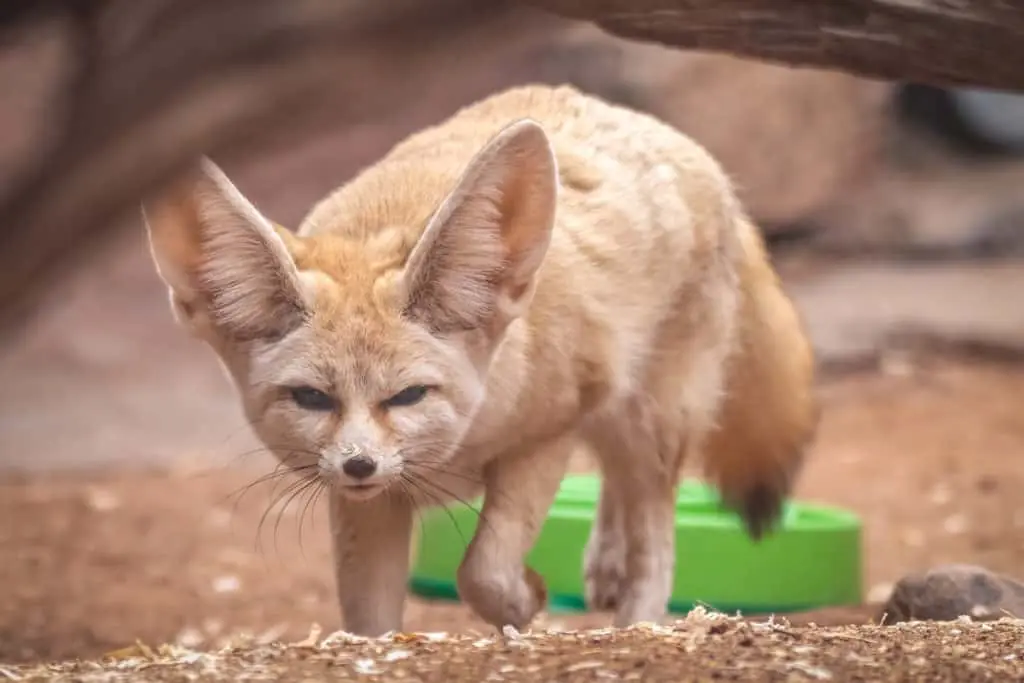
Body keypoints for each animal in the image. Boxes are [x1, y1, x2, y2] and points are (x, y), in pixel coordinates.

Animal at [142, 84, 817, 636]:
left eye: (408, 395)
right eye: (312, 398)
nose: (359, 463)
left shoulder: (545, 436)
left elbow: (484, 569)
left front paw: (523, 602)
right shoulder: (368, 504)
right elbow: (368, 617)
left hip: (651, 417)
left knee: (655, 524)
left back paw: (637, 618)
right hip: (619, 412)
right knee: (619, 482)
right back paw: (605, 563)